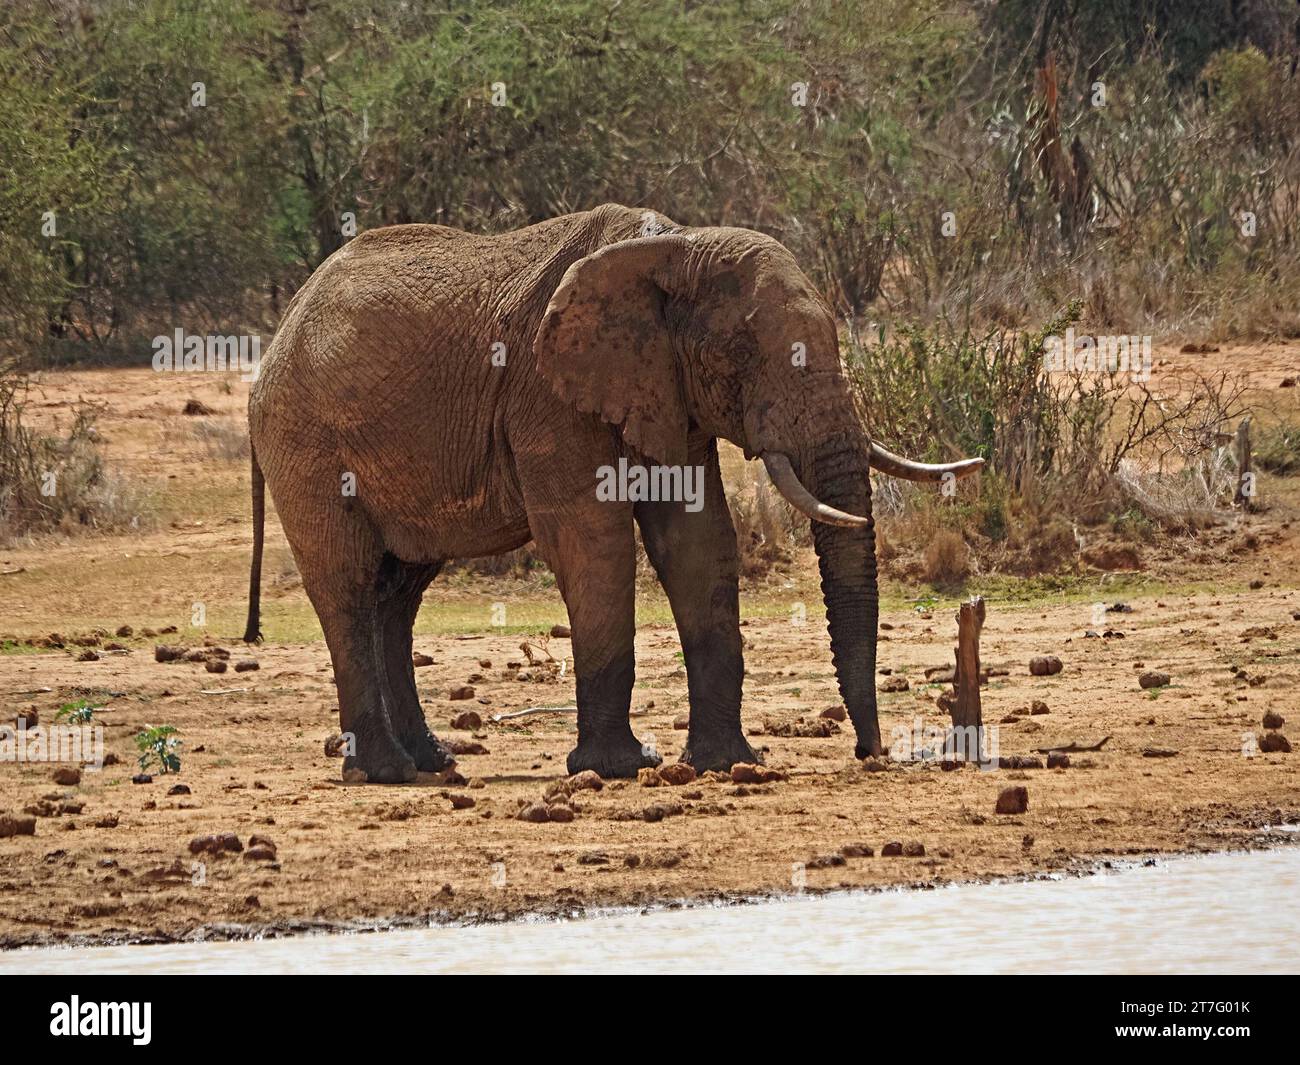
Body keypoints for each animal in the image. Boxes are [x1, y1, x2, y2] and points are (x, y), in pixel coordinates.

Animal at [242, 203, 981, 783]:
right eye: (741, 353)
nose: (870, 752)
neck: (673, 247)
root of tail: (279, 334)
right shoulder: (545, 393)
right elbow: (591, 538)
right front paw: (618, 766)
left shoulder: (664, 389)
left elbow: (697, 539)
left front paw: (725, 761)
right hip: (305, 441)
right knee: (349, 586)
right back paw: (385, 772)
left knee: (398, 593)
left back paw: (432, 762)